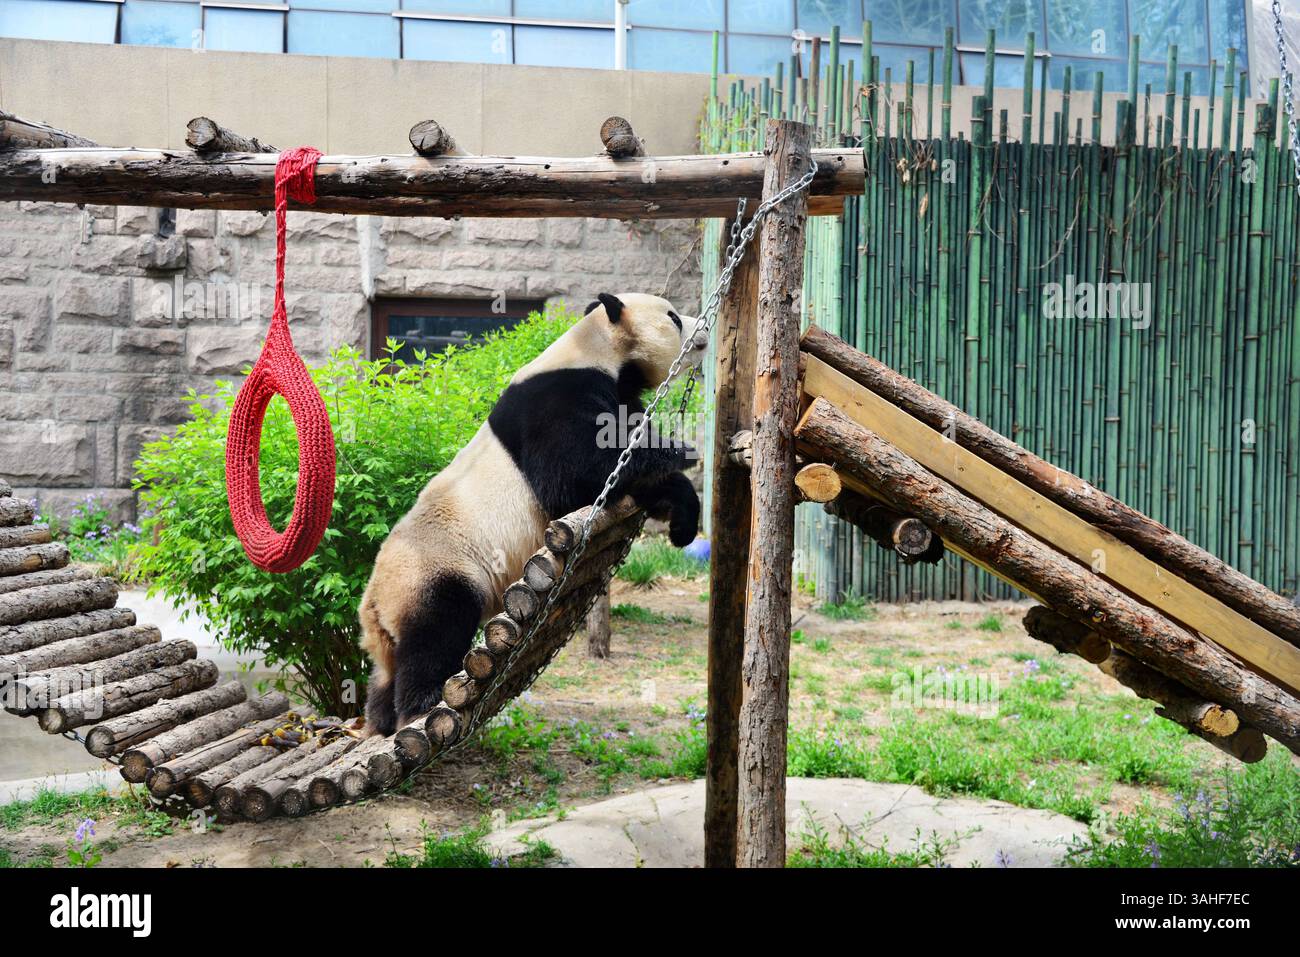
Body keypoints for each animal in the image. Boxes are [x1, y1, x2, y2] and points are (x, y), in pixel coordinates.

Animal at [359, 292, 705, 736]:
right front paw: (678, 448)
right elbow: (573, 474)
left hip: (391, 623)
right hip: (434, 571)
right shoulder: (556, 401)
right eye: (674, 318)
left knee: (385, 674)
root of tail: (372, 605)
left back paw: (380, 722)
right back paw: (423, 705)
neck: (600, 348)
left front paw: (682, 524)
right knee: (435, 632)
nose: (702, 330)